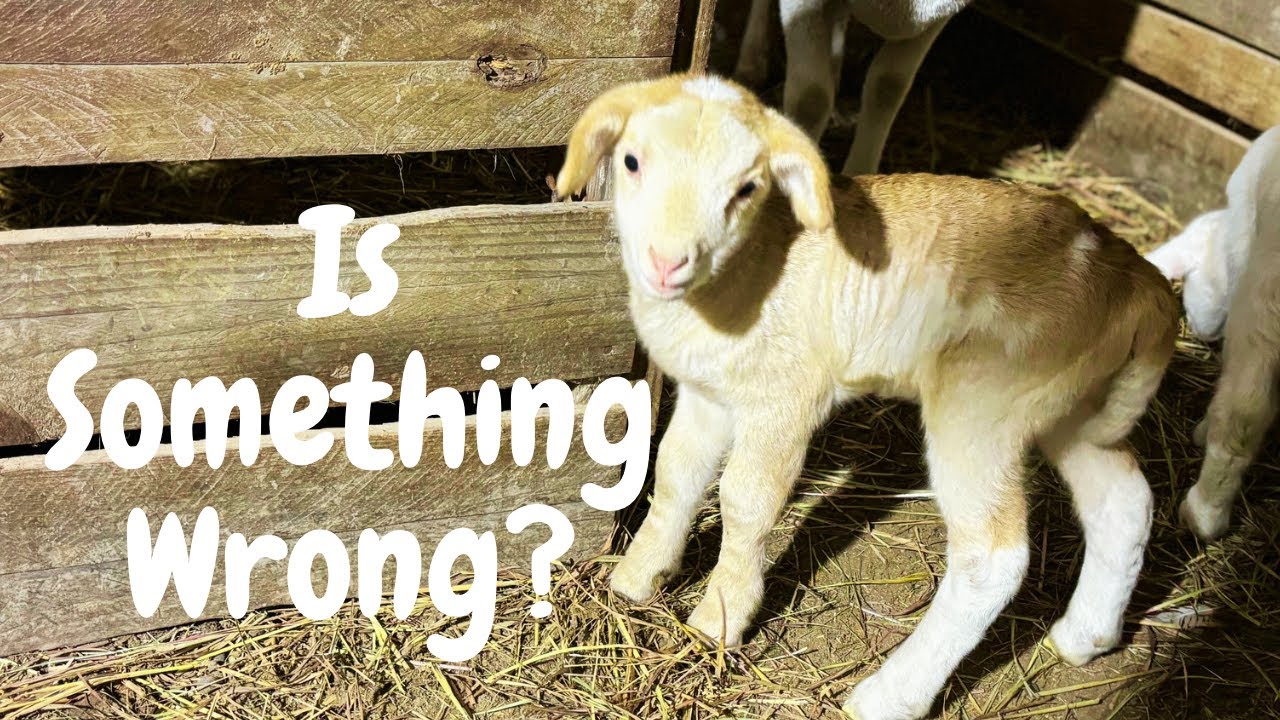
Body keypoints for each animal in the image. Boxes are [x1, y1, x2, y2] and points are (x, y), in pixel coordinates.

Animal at [554, 73, 1178, 720]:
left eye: (747, 188)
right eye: (631, 161)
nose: (667, 262)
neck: (746, 272)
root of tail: (1138, 281)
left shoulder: (786, 398)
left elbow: (745, 500)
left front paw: (720, 618)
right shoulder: (709, 395)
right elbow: (677, 473)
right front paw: (638, 577)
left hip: (982, 402)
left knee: (994, 558)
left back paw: (889, 695)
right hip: (1073, 404)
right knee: (1124, 500)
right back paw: (1087, 636)